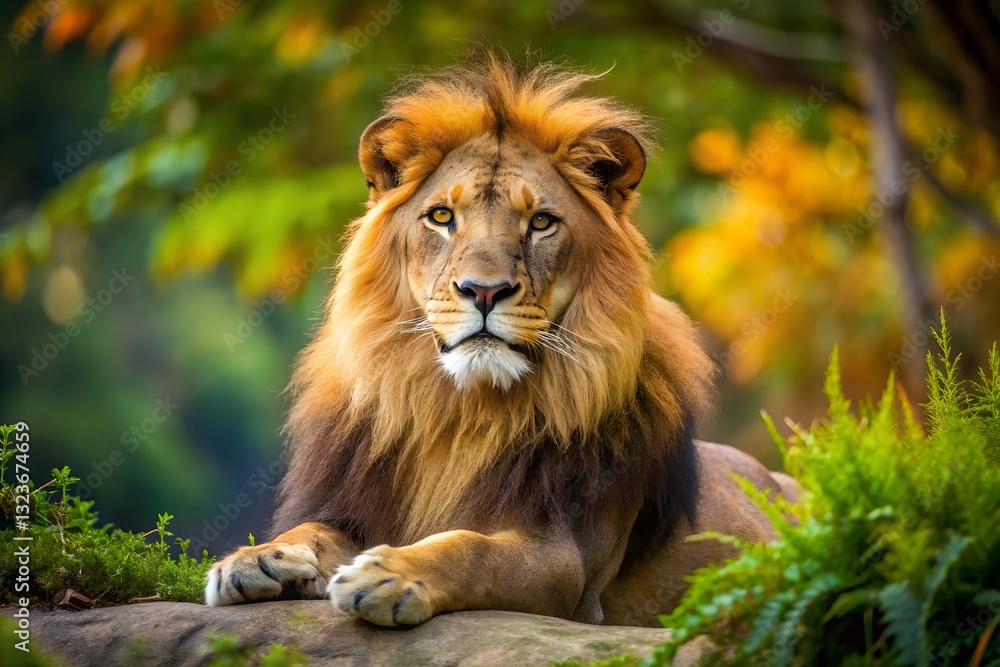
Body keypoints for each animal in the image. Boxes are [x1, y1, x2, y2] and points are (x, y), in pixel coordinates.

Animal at [204, 52, 799, 627]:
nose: (484, 291)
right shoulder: (352, 509)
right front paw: (258, 559)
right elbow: (311, 530)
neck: (461, 413)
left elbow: (471, 548)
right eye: (442, 216)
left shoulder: (566, 561)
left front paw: (391, 575)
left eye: (540, 222)